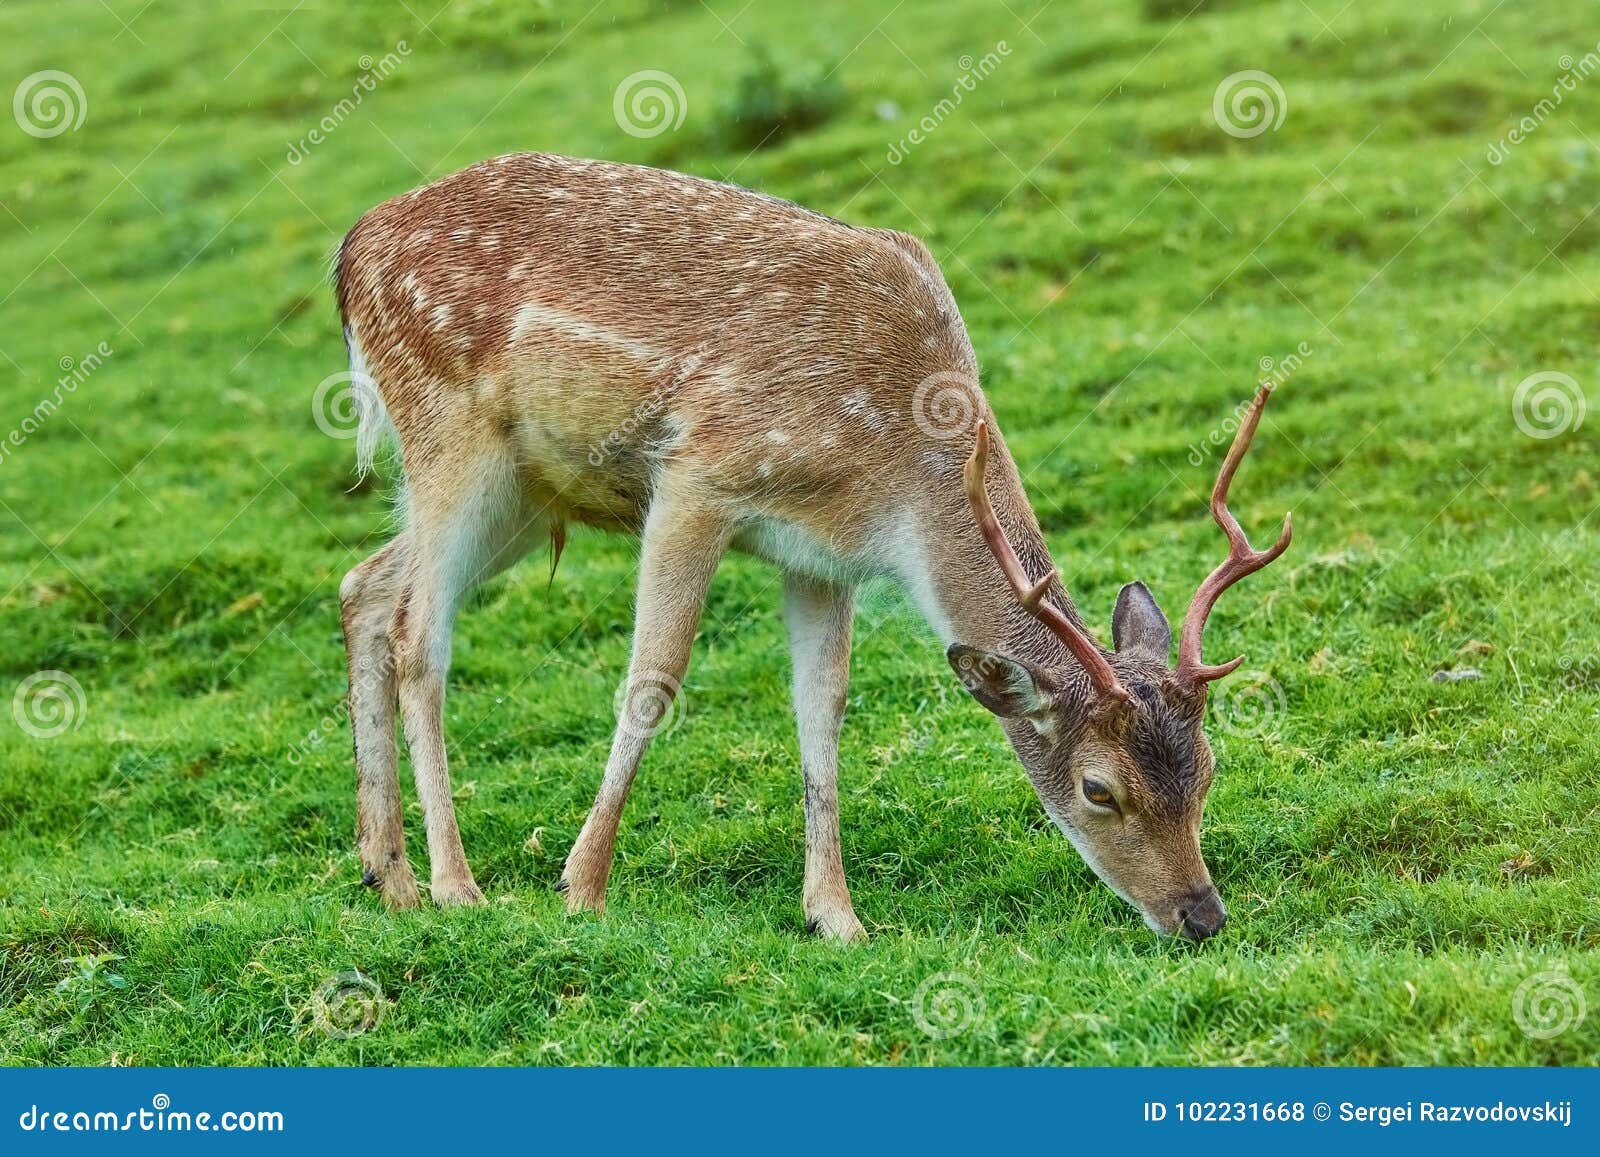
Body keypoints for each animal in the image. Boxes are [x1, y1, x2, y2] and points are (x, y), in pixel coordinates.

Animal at [333, 152, 1292, 942]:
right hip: (452, 435)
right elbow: (653, 679)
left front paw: (836, 916)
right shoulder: (697, 476)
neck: (894, 476)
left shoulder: (822, 557)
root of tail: (347, 255)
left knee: (364, 585)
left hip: (529, 490)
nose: (1201, 915)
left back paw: (389, 875)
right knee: (419, 632)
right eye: (1100, 788)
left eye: (1208, 769)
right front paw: (584, 887)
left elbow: (821, 710)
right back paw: (456, 885)